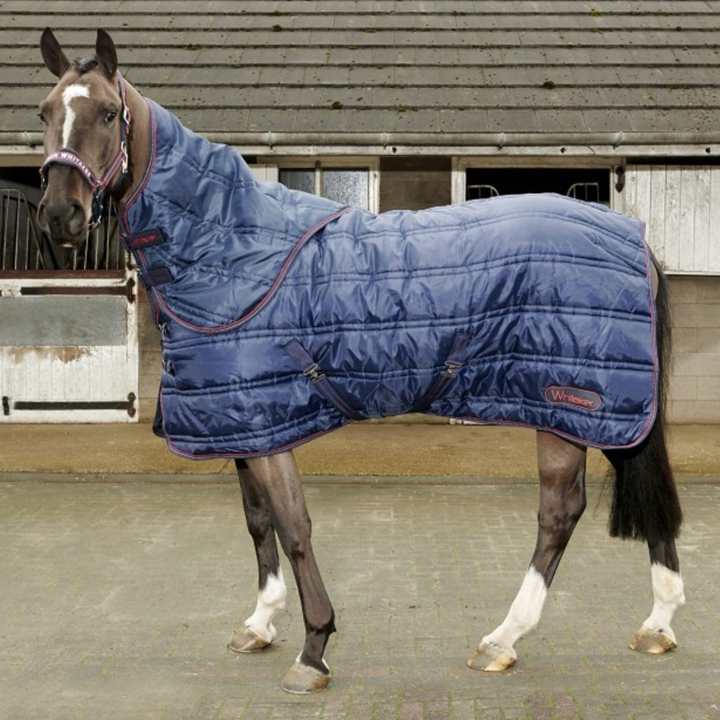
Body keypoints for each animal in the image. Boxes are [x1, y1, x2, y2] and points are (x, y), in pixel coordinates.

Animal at [36, 28, 685, 694]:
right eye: (45, 113)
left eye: (107, 113)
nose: (60, 216)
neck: (226, 249)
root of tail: (633, 239)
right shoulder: (243, 420)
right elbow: (258, 521)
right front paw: (261, 623)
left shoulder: (271, 428)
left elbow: (294, 528)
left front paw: (313, 648)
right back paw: (656, 625)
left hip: (571, 409)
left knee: (559, 513)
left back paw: (505, 638)